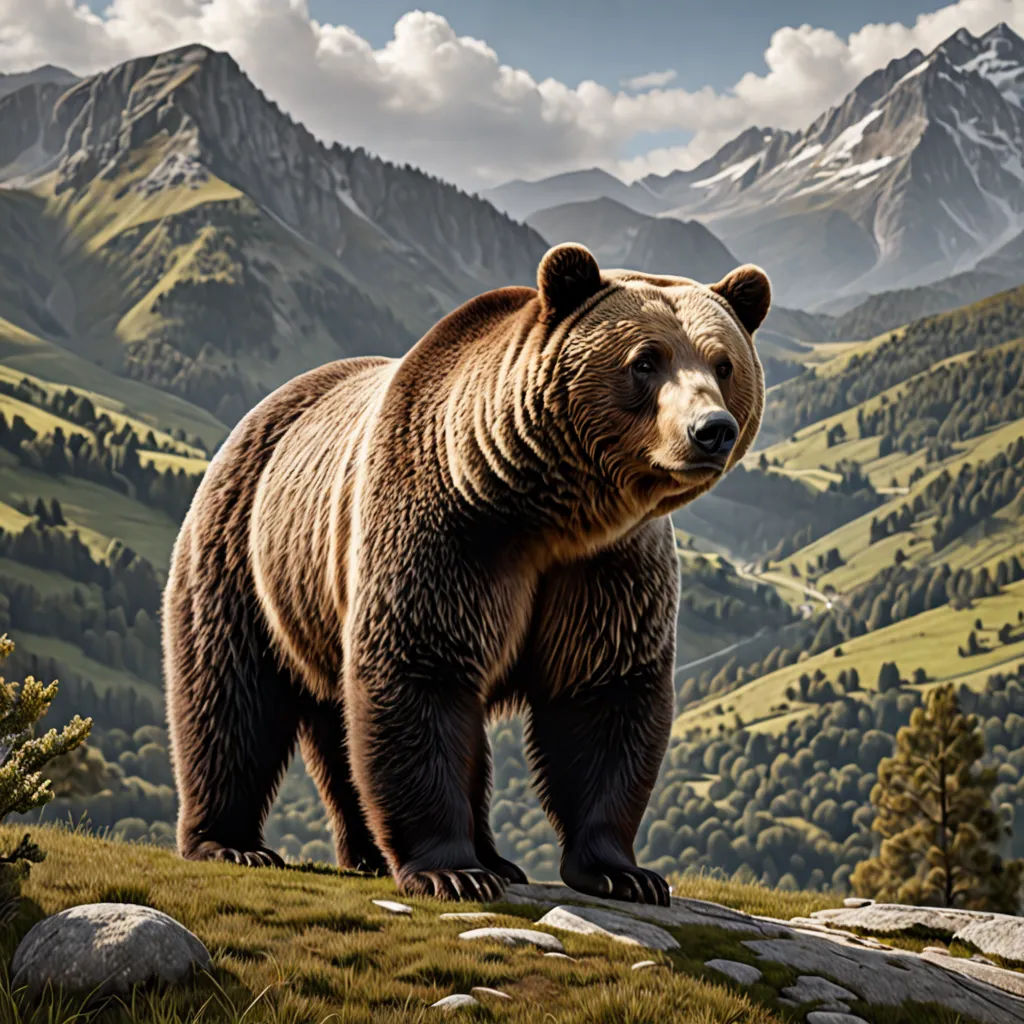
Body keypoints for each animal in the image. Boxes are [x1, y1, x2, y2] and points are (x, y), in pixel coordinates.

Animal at [163, 243, 769, 905]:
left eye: (723, 364)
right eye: (645, 360)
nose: (710, 429)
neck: (549, 512)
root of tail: (263, 413)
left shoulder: (608, 567)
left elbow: (604, 695)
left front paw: (623, 872)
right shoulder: (451, 537)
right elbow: (420, 673)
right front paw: (449, 871)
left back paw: (430, 855)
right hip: (246, 552)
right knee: (230, 698)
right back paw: (232, 843)